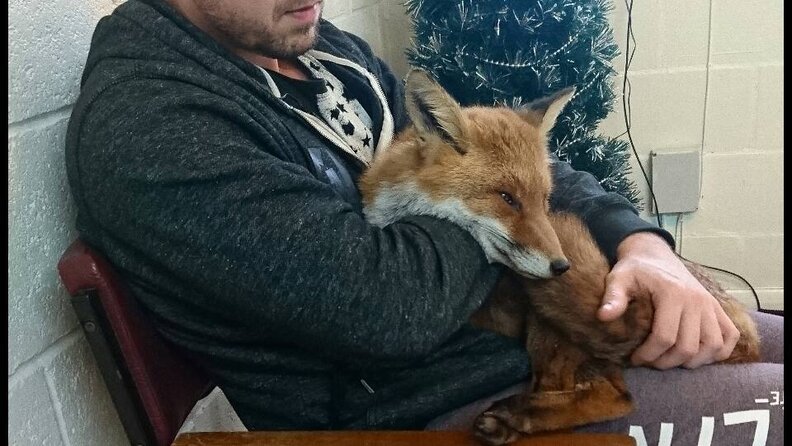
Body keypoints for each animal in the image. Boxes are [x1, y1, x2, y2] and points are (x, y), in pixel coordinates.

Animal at [358, 69, 761, 445]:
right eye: (507, 198)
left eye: (545, 200)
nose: (561, 266)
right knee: (610, 392)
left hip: (550, 327)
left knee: (613, 396)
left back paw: (515, 416)